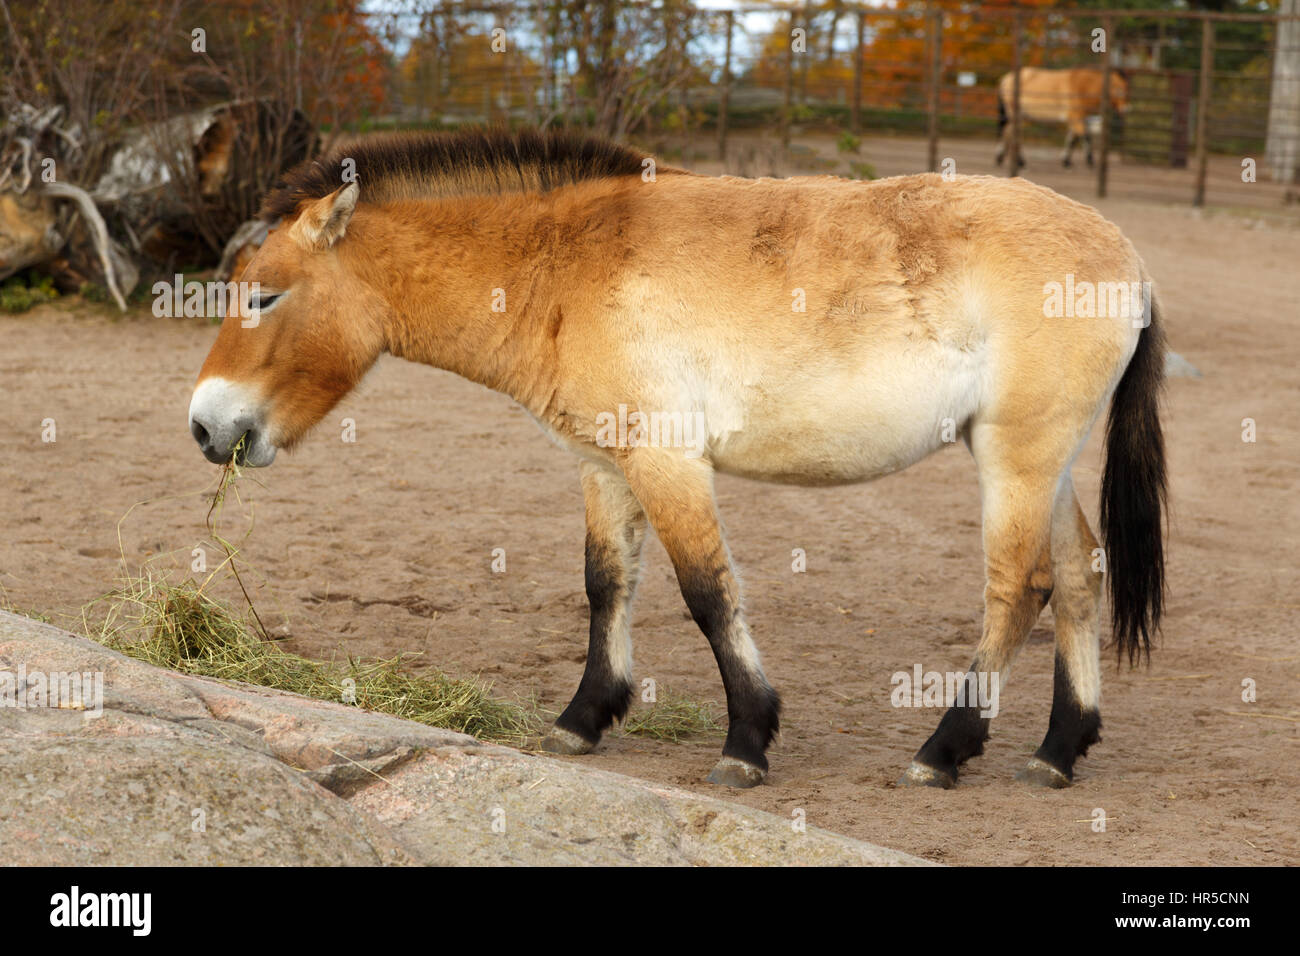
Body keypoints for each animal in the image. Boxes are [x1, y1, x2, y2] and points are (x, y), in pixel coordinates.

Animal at [188, 128, 1166, 790]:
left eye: (263, 295)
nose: (204, 427)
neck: (561, 265)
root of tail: (1125, 255)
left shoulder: (669, 466)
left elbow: (708, 593)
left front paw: (747, 741)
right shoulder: (606, 466)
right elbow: (607, 586)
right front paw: (585, 718)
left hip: (1017, 460)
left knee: (1020, 589)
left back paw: (945, 749)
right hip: (1047, 465)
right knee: (1079, 576)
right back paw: (1059, 748)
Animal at [996, 67, 1130, 171]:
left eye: (1126, 89)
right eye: (1119, 90)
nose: (1125, 109)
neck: (1081, 87)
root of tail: (1005, 79)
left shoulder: (1076, 119)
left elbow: (1072, 139)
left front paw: (1066, 161)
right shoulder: (1075, 117)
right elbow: (1085, 136)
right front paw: (1090, 161)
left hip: (1020, 115)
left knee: (1010, 133)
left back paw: (1006, 158)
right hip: (1014, 113)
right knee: (1011, 133)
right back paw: (1017, 161)